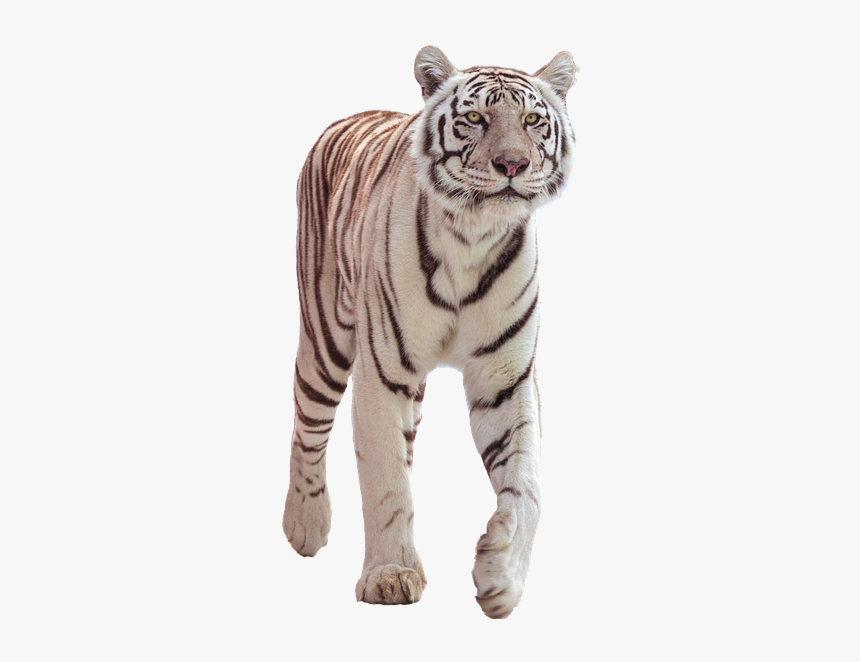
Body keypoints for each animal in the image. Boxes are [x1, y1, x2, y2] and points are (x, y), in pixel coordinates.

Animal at [282, 45, 577, 619]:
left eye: (532, 120)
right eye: (475, 118)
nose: (514, 165)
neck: (475, 236)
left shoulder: (508, 377)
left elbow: (526, 483)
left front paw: (501, 575)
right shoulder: (381, 372)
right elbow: (385, 478)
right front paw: (390, 575)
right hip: (326, 336)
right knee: (307, 424)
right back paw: (304, 524)